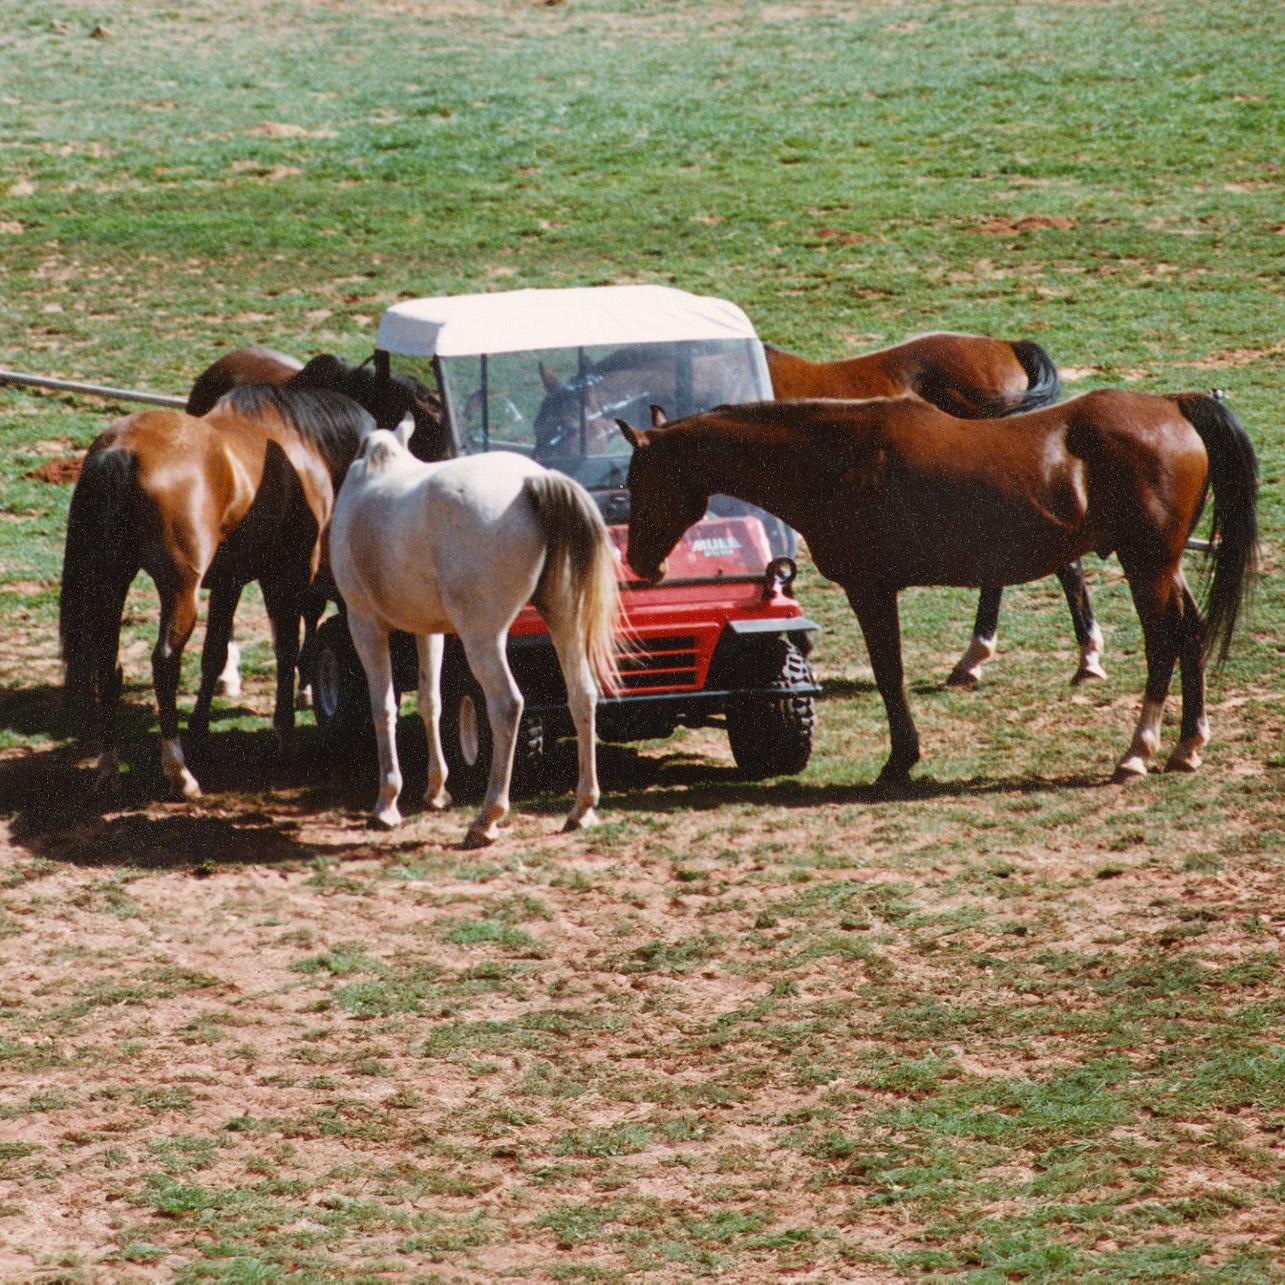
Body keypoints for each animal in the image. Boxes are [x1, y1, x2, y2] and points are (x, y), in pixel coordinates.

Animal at [60, 385, 376, 800]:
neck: (301, 443)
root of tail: (122, 451)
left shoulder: (229, 581)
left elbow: (214, 655)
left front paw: (199, 731)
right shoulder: (285, 575)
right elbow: (286, 647)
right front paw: (285, 732)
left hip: (111, 582)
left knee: (109, 666)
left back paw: (110, 767)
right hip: (179, 590)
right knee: (164, 663)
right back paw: (179, 771)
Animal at [330, 429, 623, 847]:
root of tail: (532, 480)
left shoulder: (364, 623)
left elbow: (383, 706)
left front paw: (386, 803)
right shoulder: (428, 630)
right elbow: (430, 701)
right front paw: (436, 791)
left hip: (482, 637)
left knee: (507, 705)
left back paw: (487, 818)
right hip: (563, 622)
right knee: (582, 695)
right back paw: (581, 808)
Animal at [618, 391, 1257, 788]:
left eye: (636, 480)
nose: (642, 564)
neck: (832, 456)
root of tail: (1171, 406)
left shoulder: (871, 590)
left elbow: (888, 674)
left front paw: (900, 761)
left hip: (1147, 565)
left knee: (1163, 644)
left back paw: (1137, 752)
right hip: (1165, 567)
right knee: (1191, 633)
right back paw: (1187, 745)